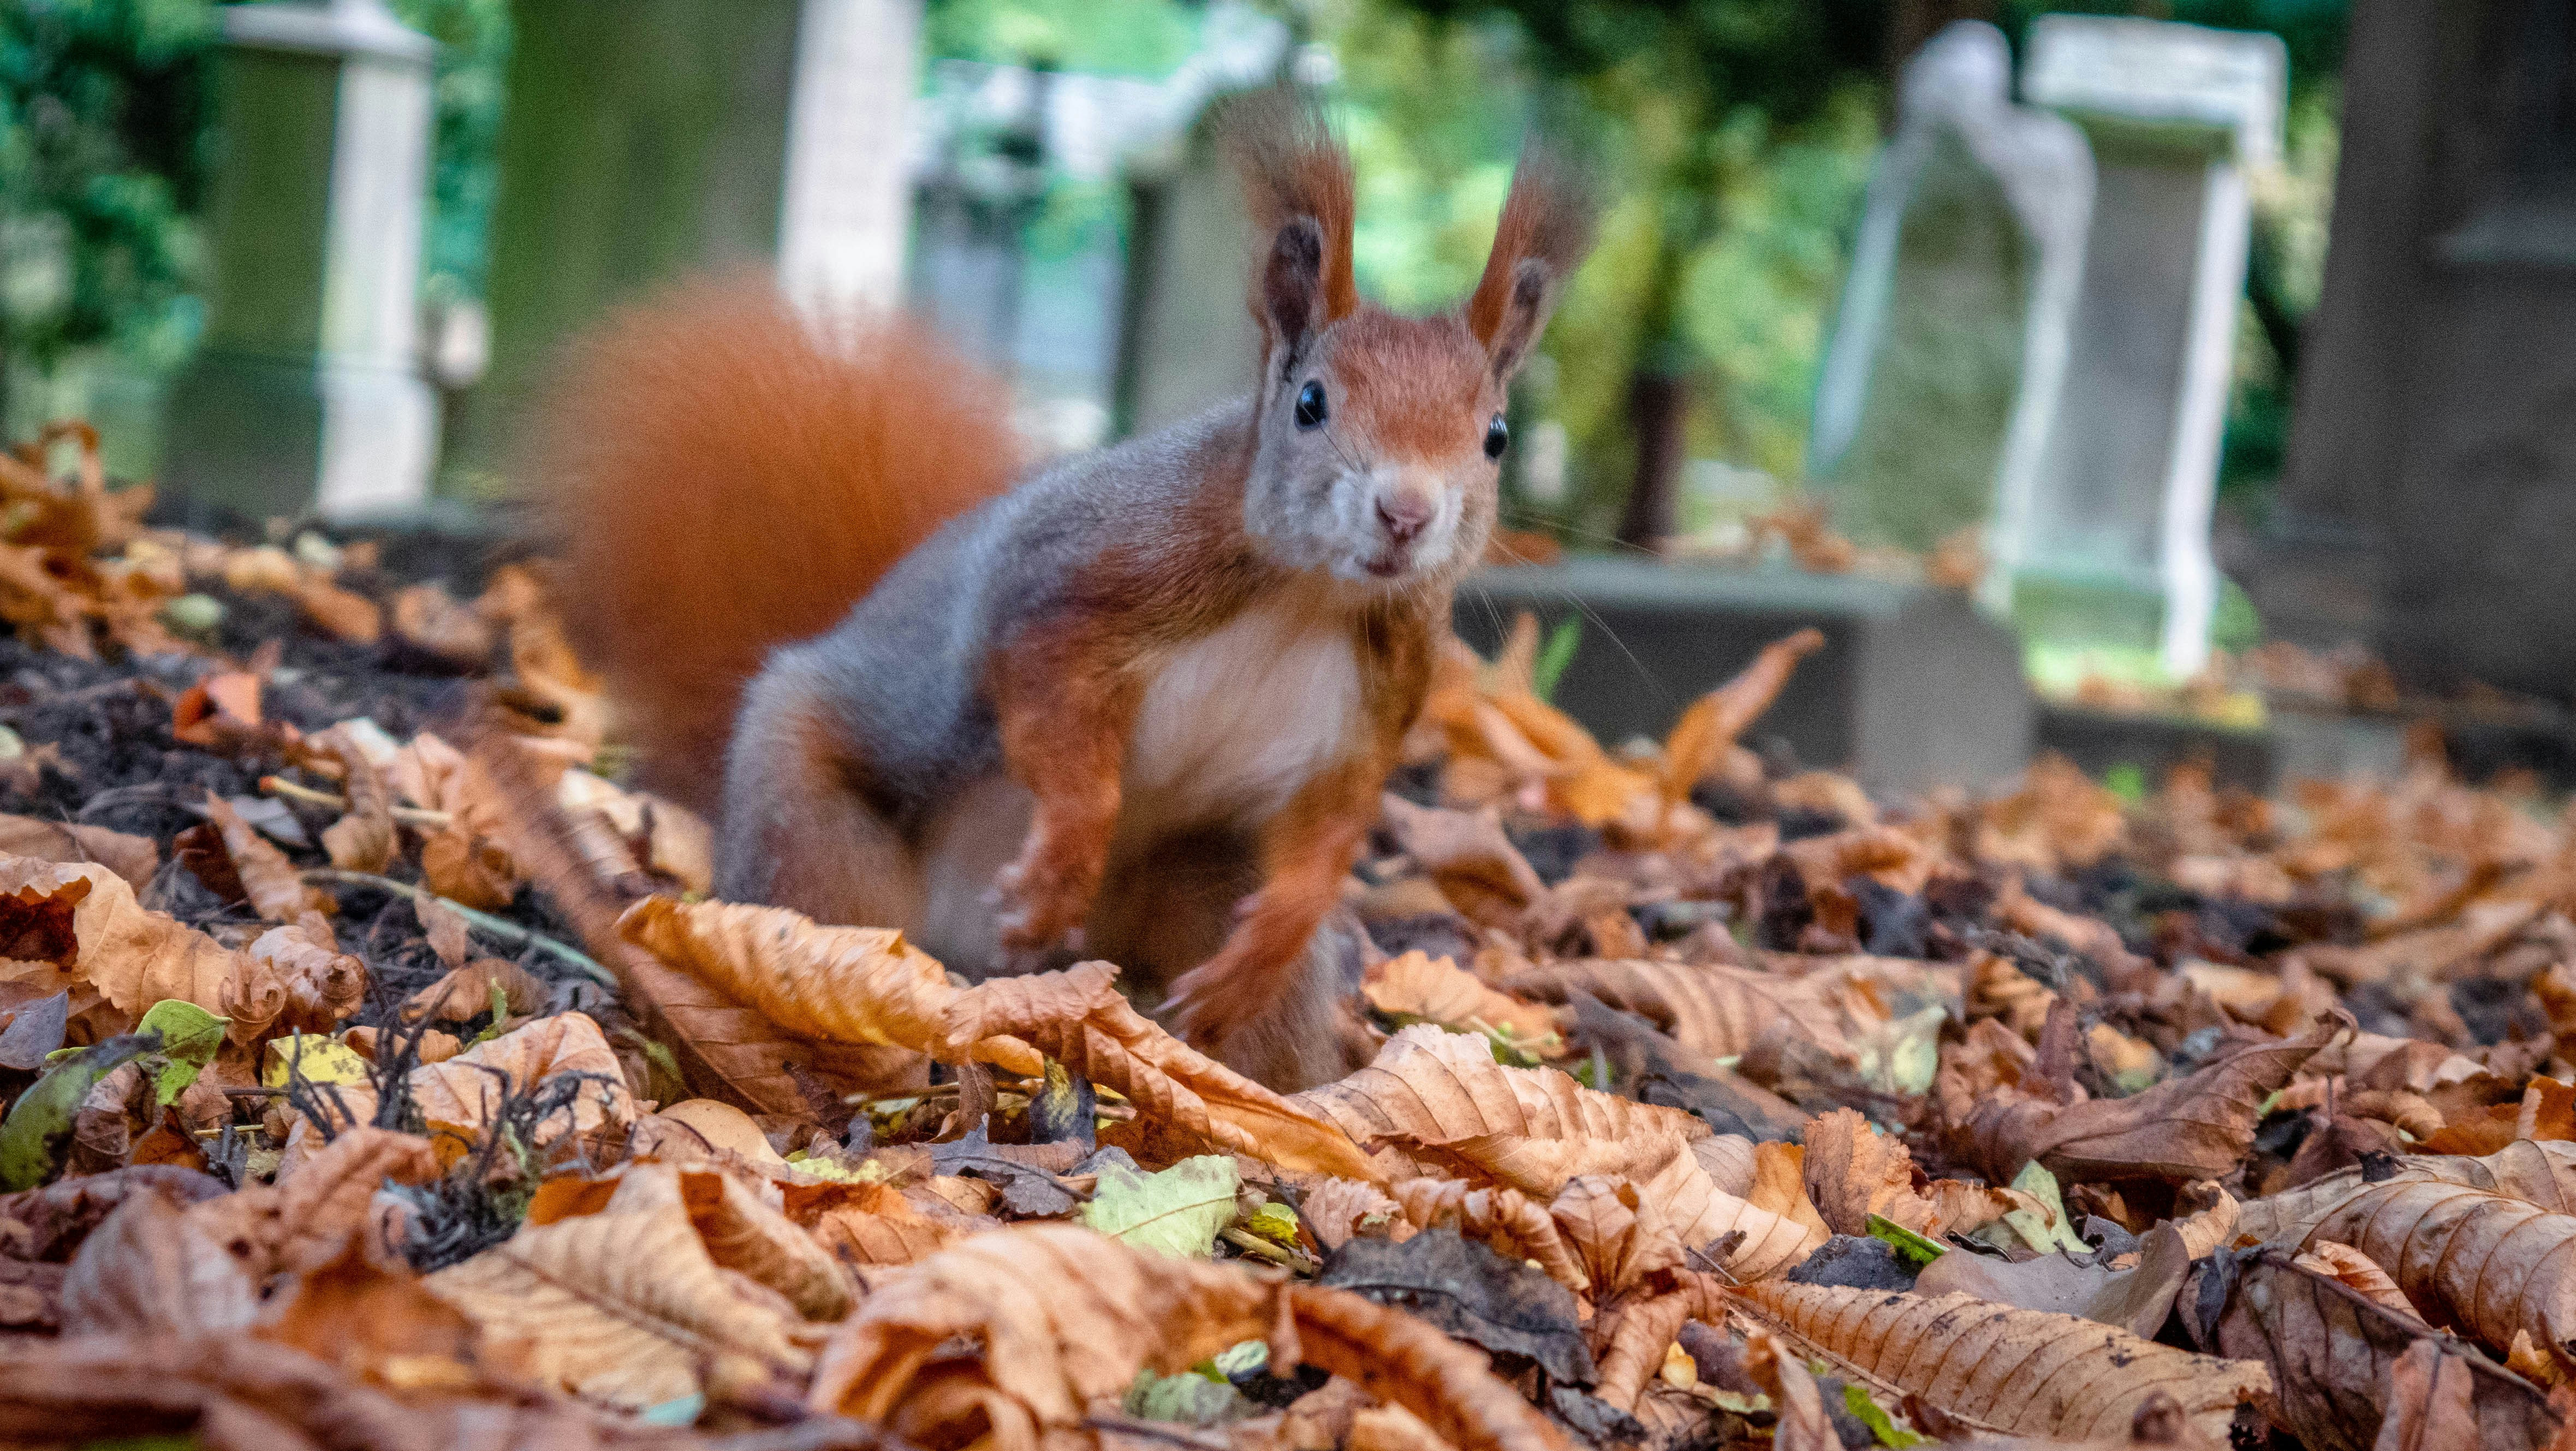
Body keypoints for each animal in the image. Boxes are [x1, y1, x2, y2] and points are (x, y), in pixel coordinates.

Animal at [537, 92, 1592, 1086]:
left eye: (1495, 436)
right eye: (1309, 404)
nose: (1406, 513)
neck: (1305, 594)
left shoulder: (1380, 695)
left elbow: (1329, 827)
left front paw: (1273, 934)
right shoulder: (1083, 574)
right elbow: (1048, 698)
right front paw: (1061, 861)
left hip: (1197, 881)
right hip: (818, 848)